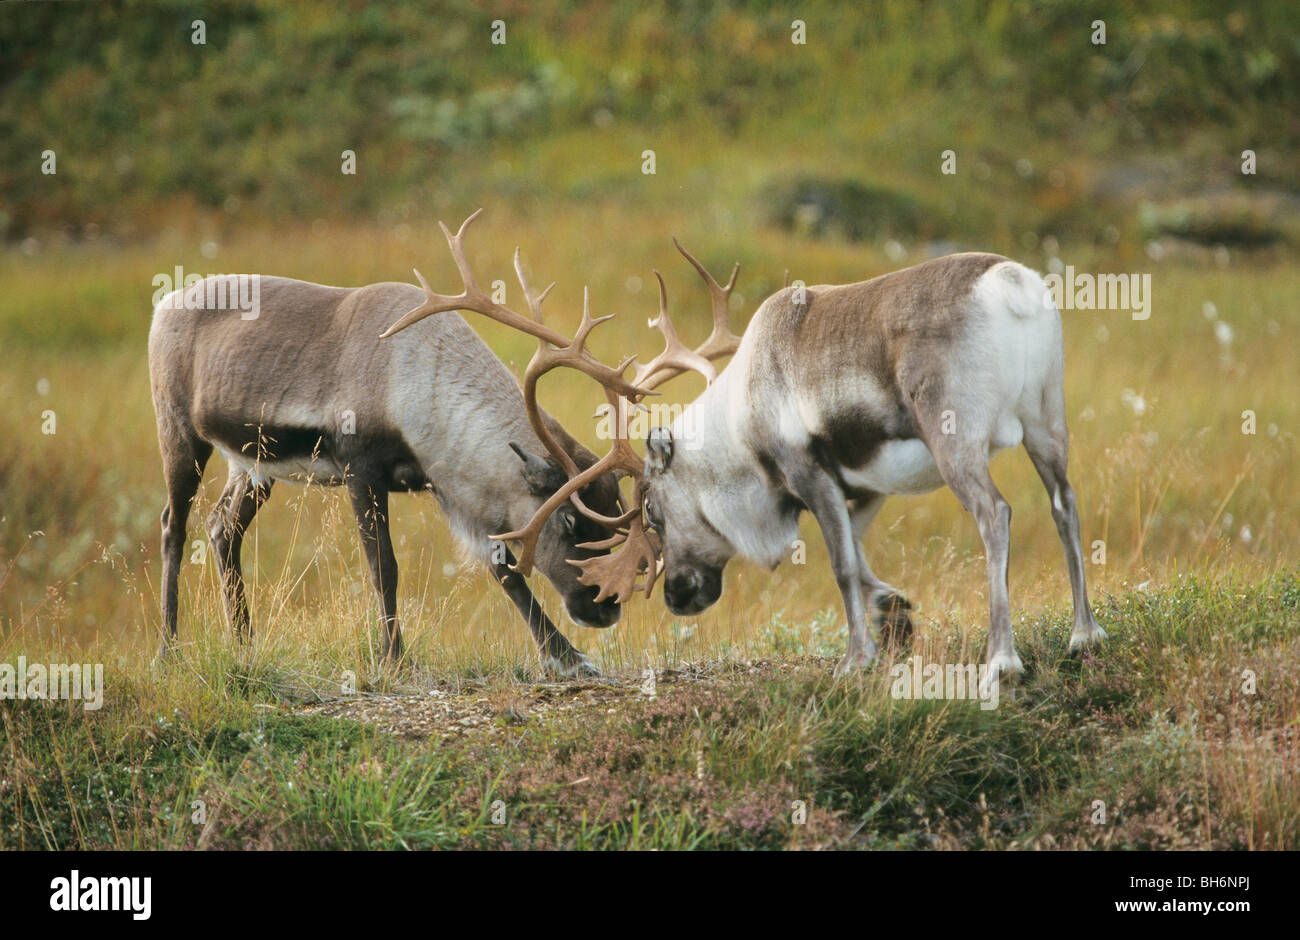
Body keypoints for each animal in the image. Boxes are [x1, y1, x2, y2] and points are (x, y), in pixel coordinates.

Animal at [148, 210, 636, 675]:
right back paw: (168, 652)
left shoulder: (447, 488)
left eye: (614, 524)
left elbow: (506, 575)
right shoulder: (361, 468)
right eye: (569, 521)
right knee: (174, 525)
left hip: (254, 464)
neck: (414, 380)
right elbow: (384, 567)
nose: (605, 609)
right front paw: (393, 658)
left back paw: (245, 642)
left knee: (222, 528)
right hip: (178, 430)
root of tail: (165, 304)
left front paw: (568, 656)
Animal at [402, 230, 1108, 696]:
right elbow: (863, 553)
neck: (739, 419)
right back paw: (1084, 635)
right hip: (1048, 421)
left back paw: (1001, 660)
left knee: (997, 514)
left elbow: (841, 565)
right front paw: (893, 613)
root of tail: (1013, 288)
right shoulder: (863, 484)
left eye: (653, 514)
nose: (679, 598)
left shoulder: (808, 471)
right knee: (1065, 505)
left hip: (953, 434)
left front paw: (856, 658)